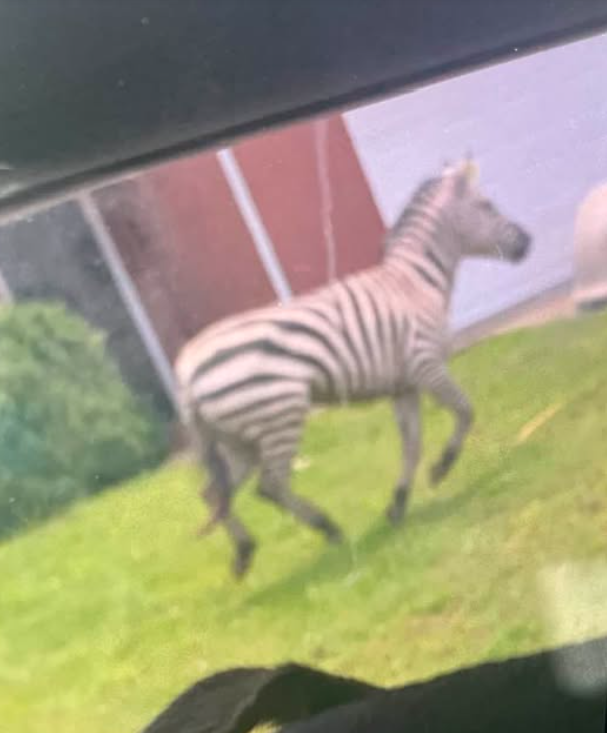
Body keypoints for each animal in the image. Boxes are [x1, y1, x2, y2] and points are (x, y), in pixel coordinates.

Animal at [175, 157, 531, 577]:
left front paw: (398, 504)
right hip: (278, 414)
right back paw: (327, 528)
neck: (414, 281)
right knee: (270, 484)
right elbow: (465, 412)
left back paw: (246, 552)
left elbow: (412, 445)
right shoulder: (426, 365)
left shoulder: (403, 385)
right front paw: (441, 469)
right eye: (487, 205)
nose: (528, 242)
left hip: (238, 438)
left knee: (214, 493)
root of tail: (186, 371)